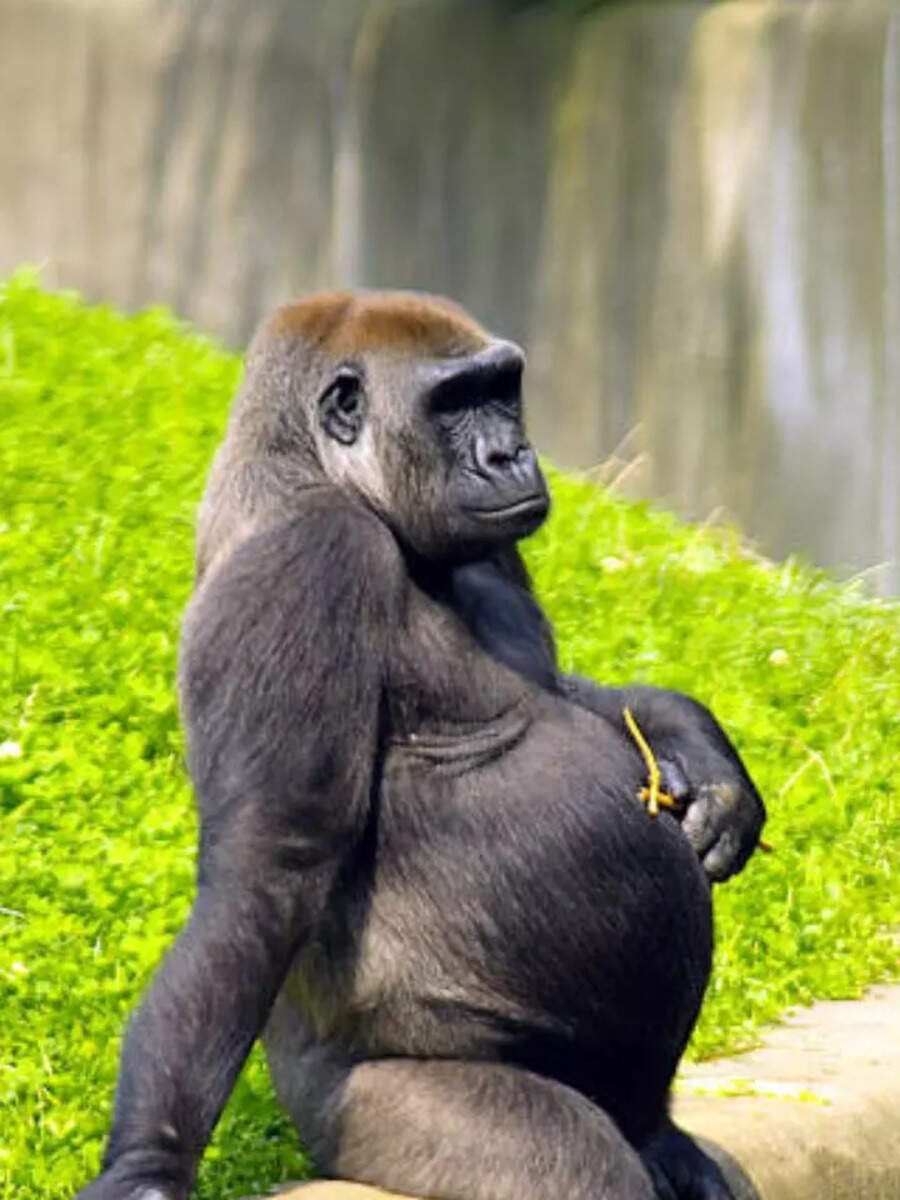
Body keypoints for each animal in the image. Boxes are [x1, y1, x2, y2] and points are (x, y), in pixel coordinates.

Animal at [75, 290, 764, 1200]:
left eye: (502, 390)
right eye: (451, 402)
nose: (512, 453)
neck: (303, 463)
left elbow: (569, 692)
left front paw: (701, 750)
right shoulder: (309, 555)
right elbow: (270, 867)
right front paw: (150, 1164)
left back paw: (665, 1141)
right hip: (366, 1106)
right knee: (573, 1161)